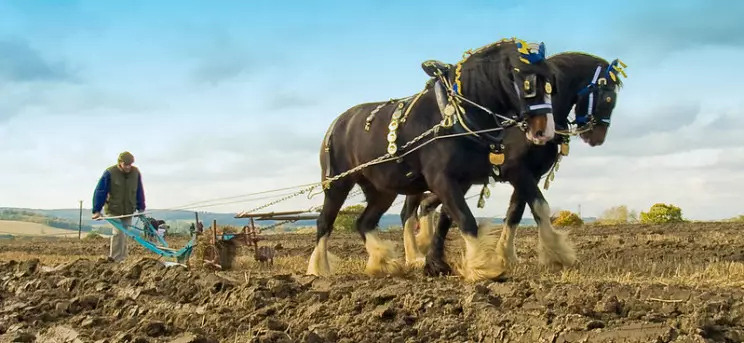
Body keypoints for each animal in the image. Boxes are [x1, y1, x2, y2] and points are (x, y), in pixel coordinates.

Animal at [306, 39, 560, 284]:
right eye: (528, 82)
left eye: (551, 83)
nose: (545, 131)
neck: (455, 115)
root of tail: (337, 122)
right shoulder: (441, 179)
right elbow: (466, 219)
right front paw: (483, 269)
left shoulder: (462, 181)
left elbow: (449, 218)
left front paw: (437, 264)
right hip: (337, 182)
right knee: (324, 223)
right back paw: (318, 269)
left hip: (382, 190)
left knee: (364, 223)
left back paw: (383, 262)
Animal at [398, 51, 624, 280]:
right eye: (608, 99)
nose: (597, 138)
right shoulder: (516, 170)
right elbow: (539, 206)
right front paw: (558, 254)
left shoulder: (530, 175)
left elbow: (516, 212)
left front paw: (506, 256)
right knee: (408, 212)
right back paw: (414, 256)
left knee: (430, 206)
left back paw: (426, 249)